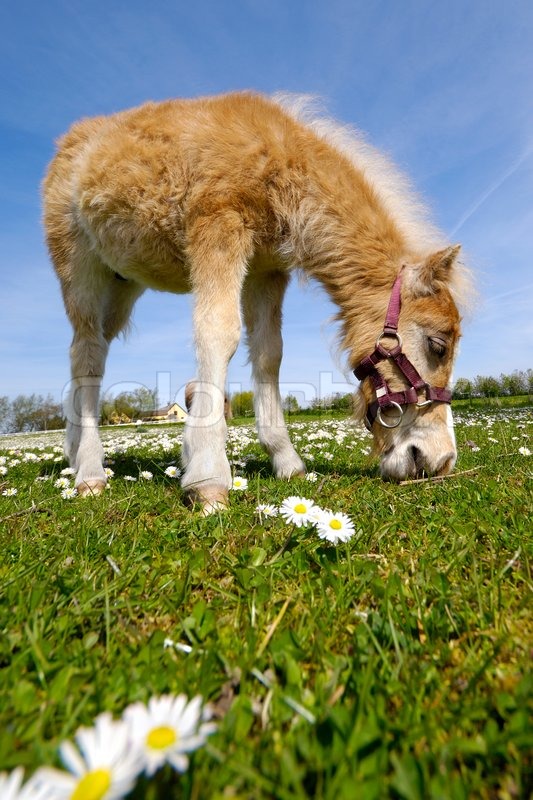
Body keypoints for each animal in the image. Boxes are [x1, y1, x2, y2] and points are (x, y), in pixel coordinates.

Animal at [43, 91, 471, 514]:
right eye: (438, 345)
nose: (440, 461)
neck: (278, 164)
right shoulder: (217, 226)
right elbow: (219, 332)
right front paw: (208, 477)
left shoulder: (266, 270)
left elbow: (269, 354)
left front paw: (286, 461)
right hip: (78, 265)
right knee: (87, 353)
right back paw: (90, 471)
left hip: (122, 284)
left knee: (88, 352)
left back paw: (74, 453)